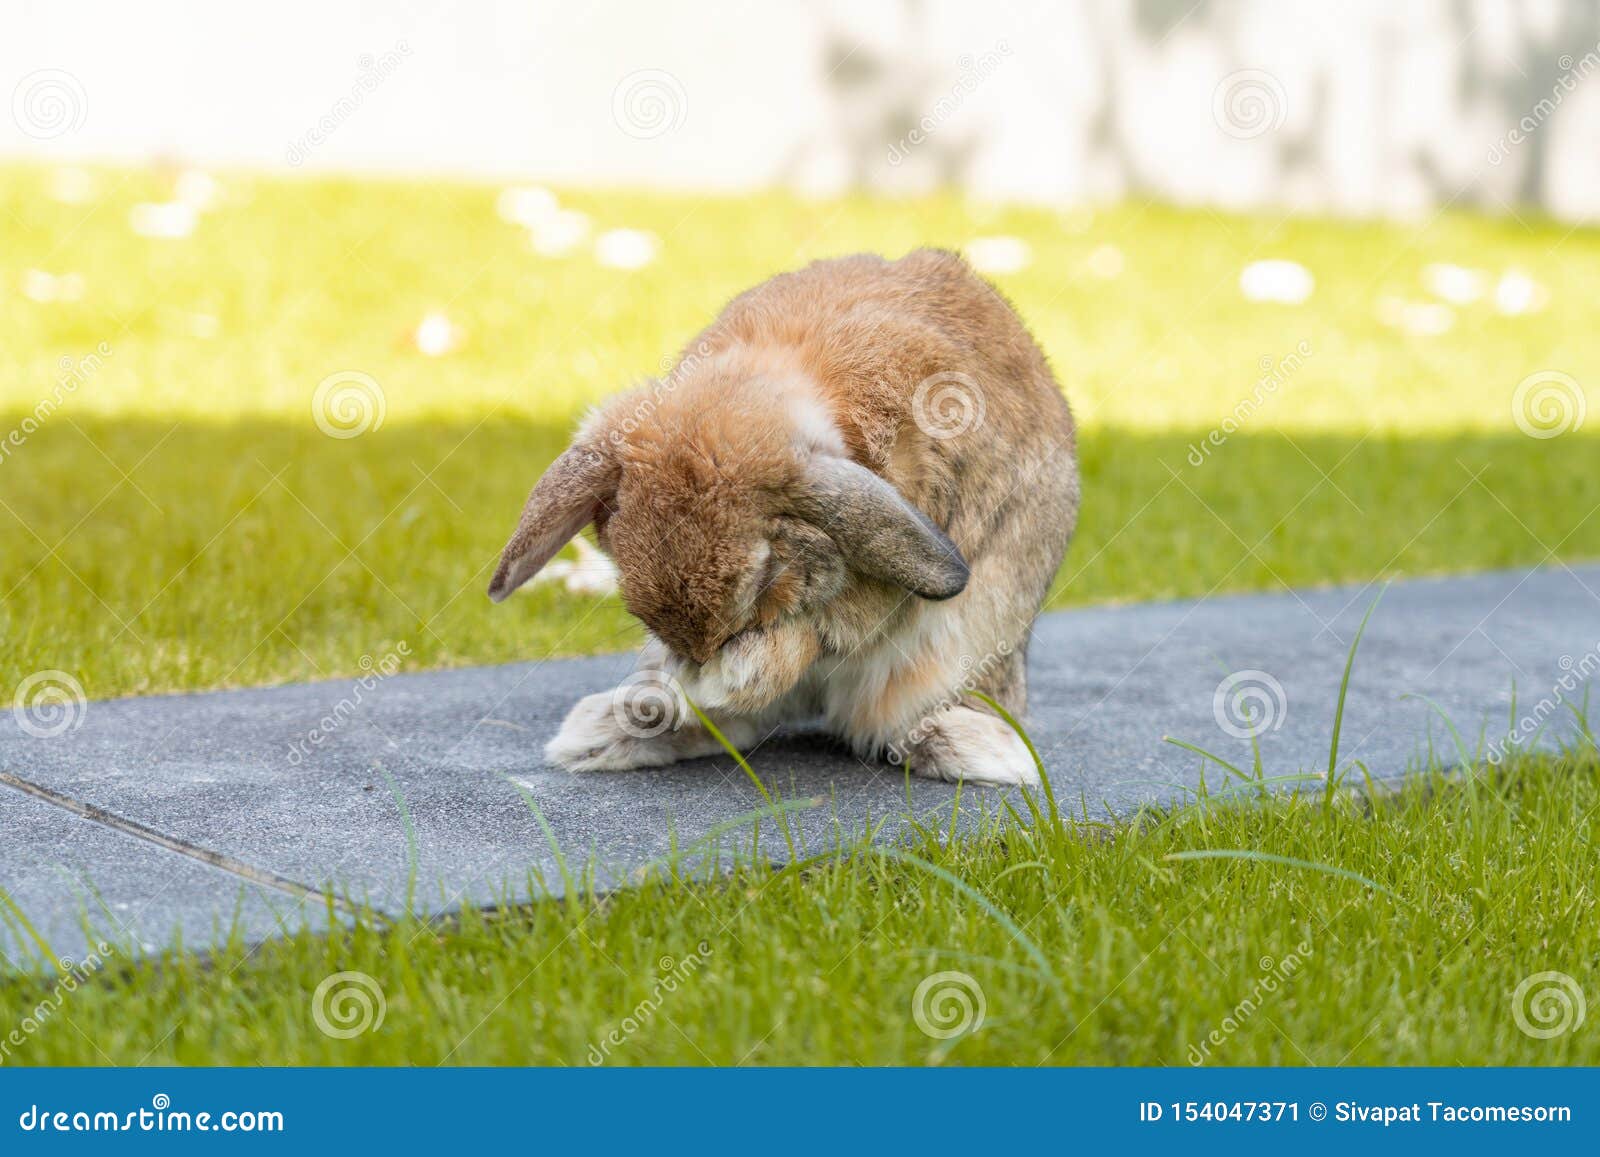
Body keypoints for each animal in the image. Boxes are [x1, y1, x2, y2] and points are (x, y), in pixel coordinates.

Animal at [488, 249, 1078, 786]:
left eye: (763, 574)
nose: (696, 656)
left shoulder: (869, 590)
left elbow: (803, 639)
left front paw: (721, 679)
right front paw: (684, 685)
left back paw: (981, 750)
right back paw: (611, 728)